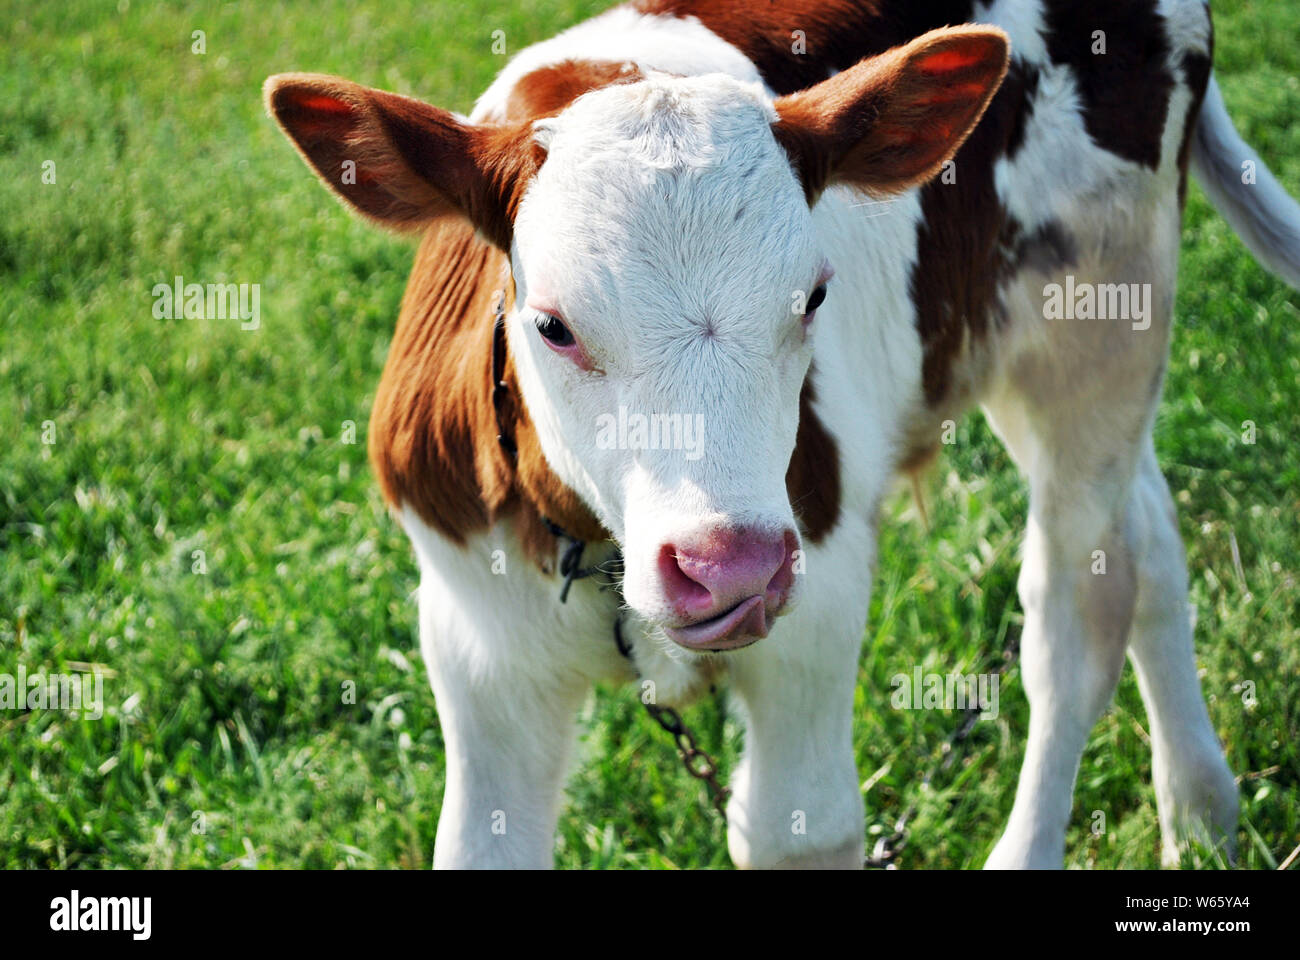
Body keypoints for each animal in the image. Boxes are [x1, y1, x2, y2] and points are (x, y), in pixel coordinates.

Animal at [265, 0, 1300, 868]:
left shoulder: (818, 605)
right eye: (552, 324)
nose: (731, 567)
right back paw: (1202, 812)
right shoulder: (474, 643)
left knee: (1077, 614)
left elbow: (796, 823)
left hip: (1100, 330)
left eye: (812, 297)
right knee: (1150, 540)